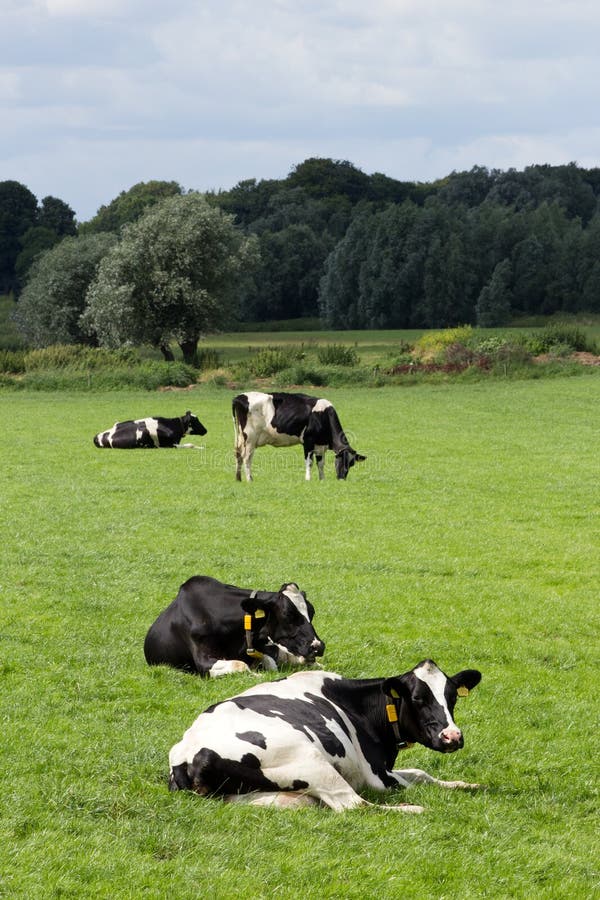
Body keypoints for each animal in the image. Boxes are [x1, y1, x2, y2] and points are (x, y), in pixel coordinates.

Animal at [168, 659, 482, 812]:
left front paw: (465, 784)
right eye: (418, 698)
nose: (452, 736)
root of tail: (187, 753)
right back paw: (414, 809)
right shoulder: (377, 777)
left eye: (453, 697)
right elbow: (414, 781)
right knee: (355, 805)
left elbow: (421, 773)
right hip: (310, 761)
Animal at [232, 391, 366, 481]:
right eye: (342, 460)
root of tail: (239, 397)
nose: (342, 478)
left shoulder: (320, 445)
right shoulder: (308, 441)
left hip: (241, 437)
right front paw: (308, 479)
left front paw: (322, 479)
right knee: (247, 458)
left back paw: (238, 478)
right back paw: (249, 479)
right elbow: (309, 462)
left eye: (351, 463)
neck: (323, 416)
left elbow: (321, 463)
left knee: (238, 454)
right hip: (250, 438)